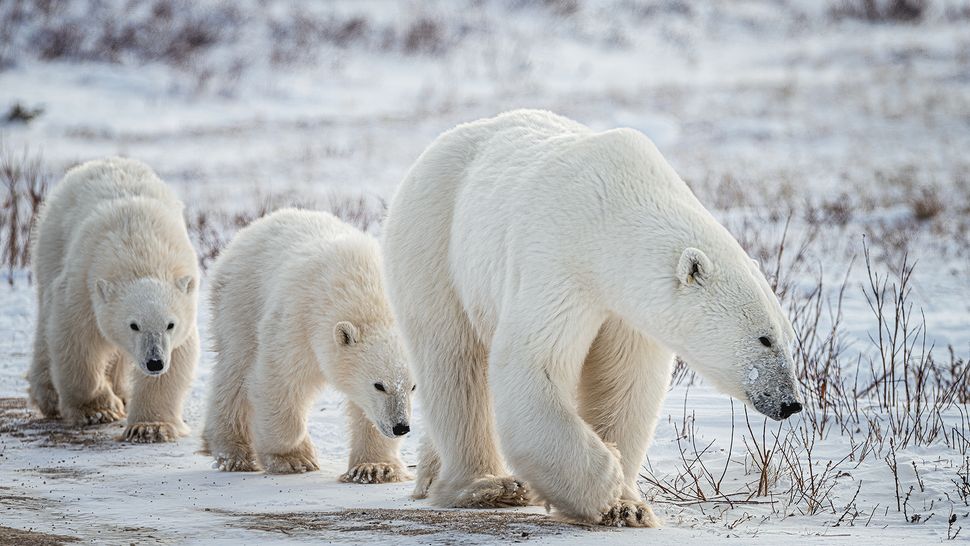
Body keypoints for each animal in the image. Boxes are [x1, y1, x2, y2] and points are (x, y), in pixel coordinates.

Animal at [28, 157, 200, 443]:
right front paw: (98, 411)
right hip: (52, 243)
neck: (141, 251)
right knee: (45, 320)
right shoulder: (83, 285)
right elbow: (77, 338)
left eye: (170, 324)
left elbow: (178, 357)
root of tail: (102, 160)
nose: (154, 362)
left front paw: (149, 427)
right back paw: (49, 396)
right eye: (134, 325)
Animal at [200, 208, 415, 481]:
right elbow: (280, 380)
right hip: (241, 300)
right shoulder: (297, 321)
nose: (401, 427)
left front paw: (375, 468)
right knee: (235, 371)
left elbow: (367, 412)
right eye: (379, 385)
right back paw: (235, 454)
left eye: (413, 387)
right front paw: (294, 457)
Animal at [381, 110, 803, 526]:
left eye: (789, 337)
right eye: (764, 338)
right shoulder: (560, 262)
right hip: (435, 239)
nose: (791, 403)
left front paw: (627, 507)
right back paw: (487, 486)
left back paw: (433, 476)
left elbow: (624, 381)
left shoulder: (628, 308)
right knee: (455, 360)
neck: (613, 212)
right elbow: (534, 361)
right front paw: (604, 483)